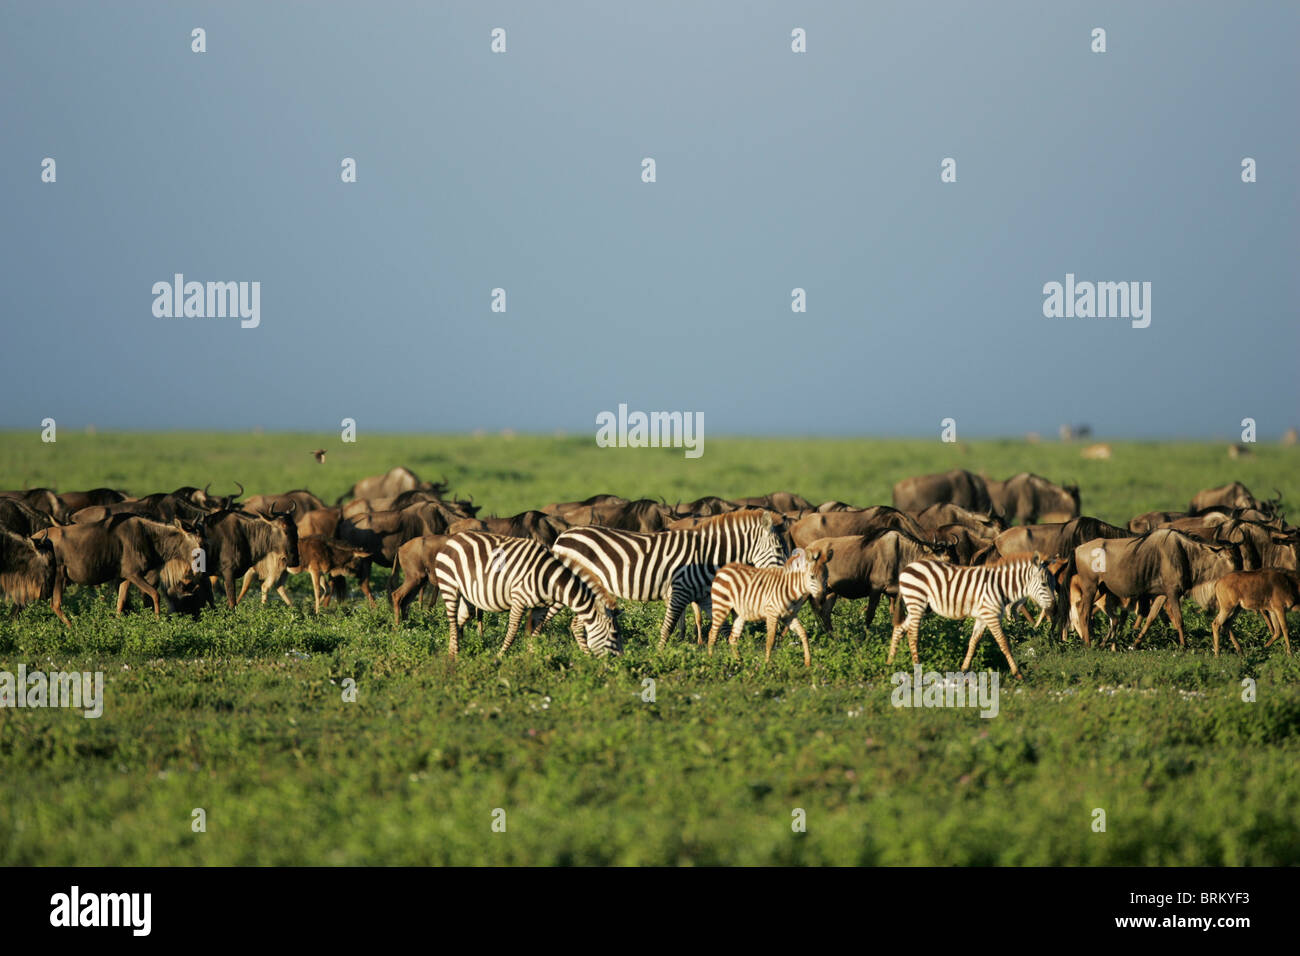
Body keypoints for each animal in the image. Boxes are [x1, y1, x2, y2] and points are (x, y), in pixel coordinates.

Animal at [433, 532, 621, 658]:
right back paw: (455, 654)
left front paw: (532, 657)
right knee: (451, 620)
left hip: (466, 595)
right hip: (449, 585)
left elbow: (535, 632)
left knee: (461, 619)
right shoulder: (519, 600)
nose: (619, 663)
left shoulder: (541, 607)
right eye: (614, 635)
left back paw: (453, 651)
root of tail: (453, 538)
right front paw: (500, 656)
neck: (549, 579)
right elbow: (513, 630)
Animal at [551, 509, 788, 652]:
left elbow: (723, 627)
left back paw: (587, 656)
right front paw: (659, 654)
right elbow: (668, 626)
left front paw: (733, 657)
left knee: (576, 623)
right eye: (779, 549)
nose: (783, 576)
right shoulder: (679, 590)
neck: (707, 555)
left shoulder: (703, 597)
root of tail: (564, 535)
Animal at [889, 554, 1055, 679]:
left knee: (899, 628)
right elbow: (1003, 642)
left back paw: (890, 662)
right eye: (1044, 584)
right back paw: (917, 668)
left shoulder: (982, 617)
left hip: (921, 606)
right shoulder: (991, 615)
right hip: (916, 601)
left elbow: (973, 642)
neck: (1001, 587)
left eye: (1052, 584)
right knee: (912, 634)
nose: (1054, 605)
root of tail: (908, 567)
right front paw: (1018, 673)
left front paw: (963, 669)